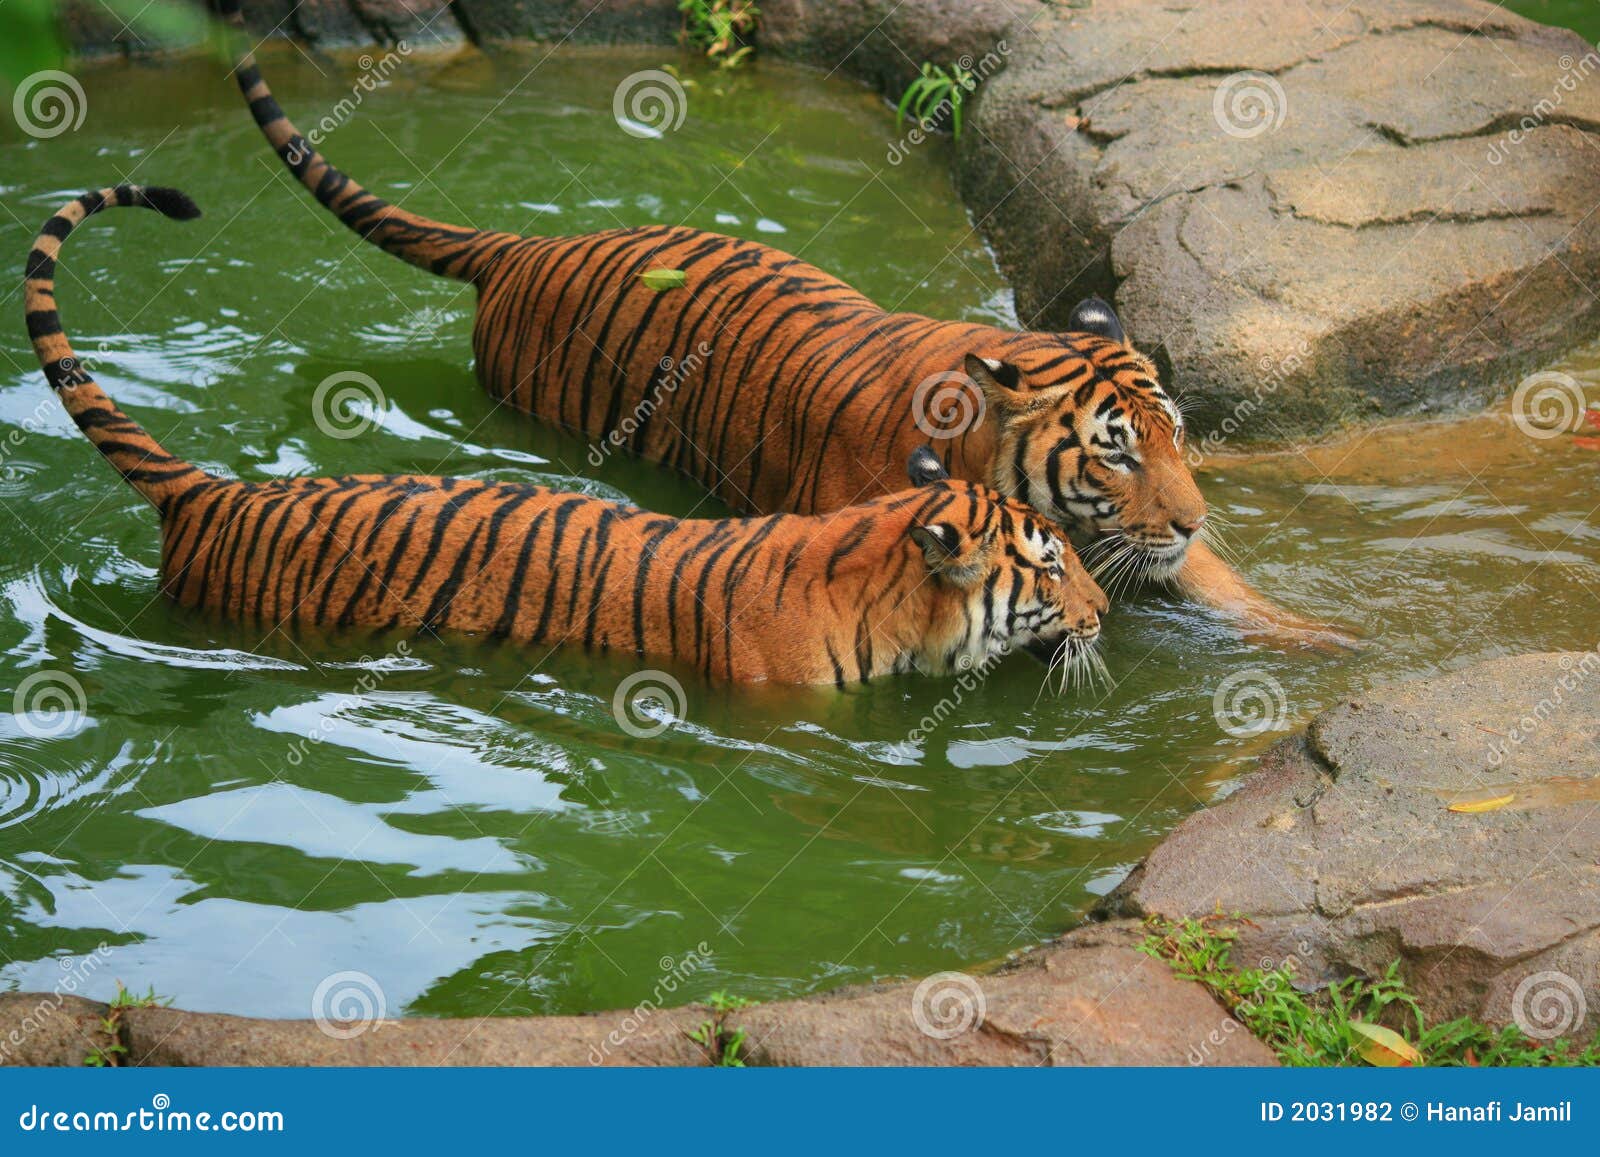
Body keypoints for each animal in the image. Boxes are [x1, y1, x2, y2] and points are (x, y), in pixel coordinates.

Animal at [220, 3, 1345, 647]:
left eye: (1177, 440)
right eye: (1113, 453)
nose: (1193, 515)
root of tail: (527, 247)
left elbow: (1235, 595)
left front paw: (1325, 641)